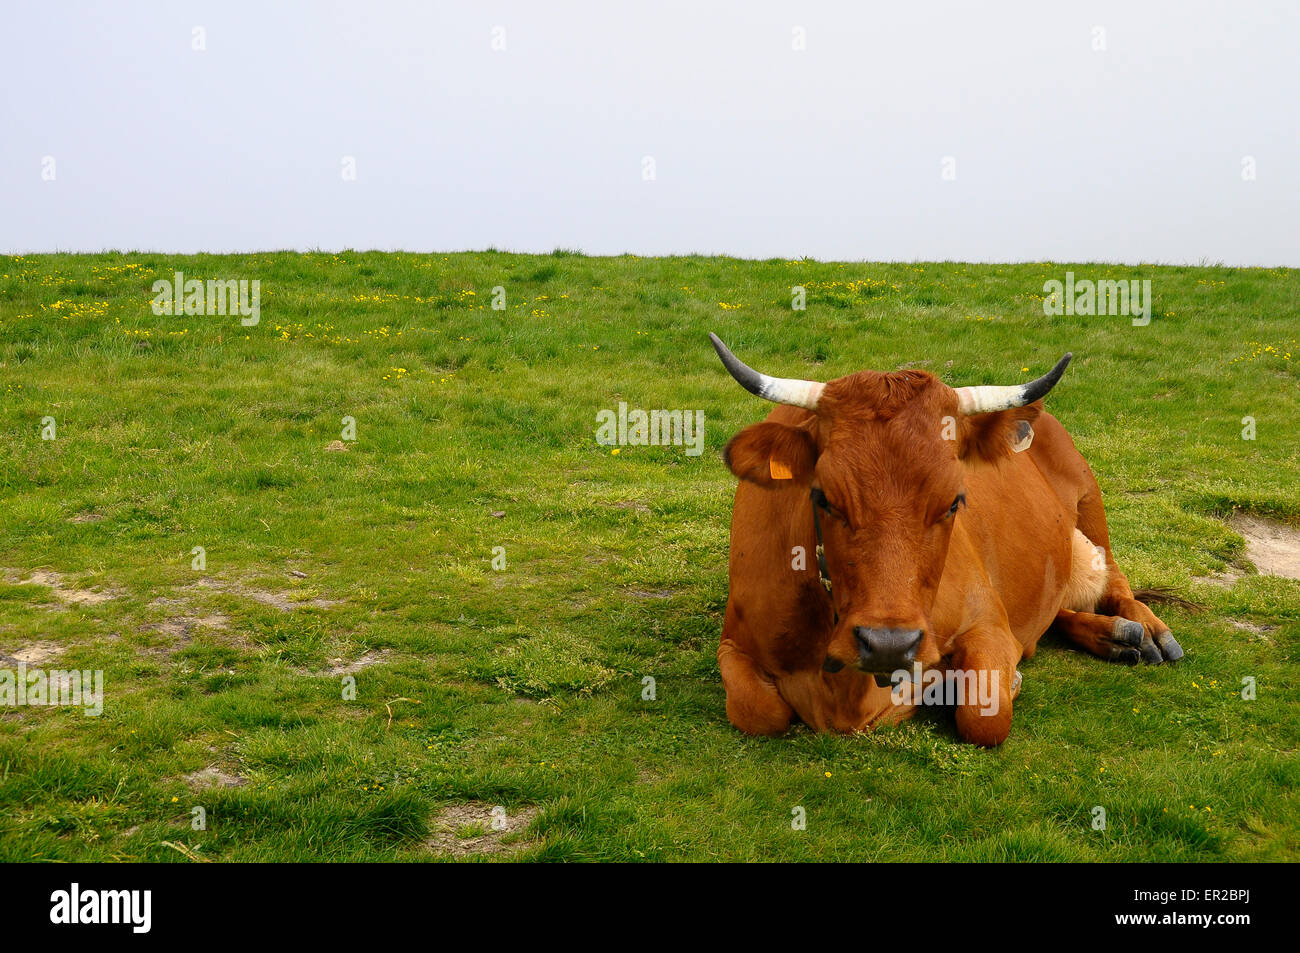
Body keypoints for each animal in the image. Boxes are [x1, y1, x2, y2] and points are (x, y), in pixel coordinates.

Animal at [710, 334, 1183, 746]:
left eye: (954, 501)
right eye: (823, 497)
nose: (888, 644)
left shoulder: (988, 622)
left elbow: (983, 714)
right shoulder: (733, 642)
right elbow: (759, 711)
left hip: (1090, 500)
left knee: (1114, 577)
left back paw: (1146, 630)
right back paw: (1115, 637)